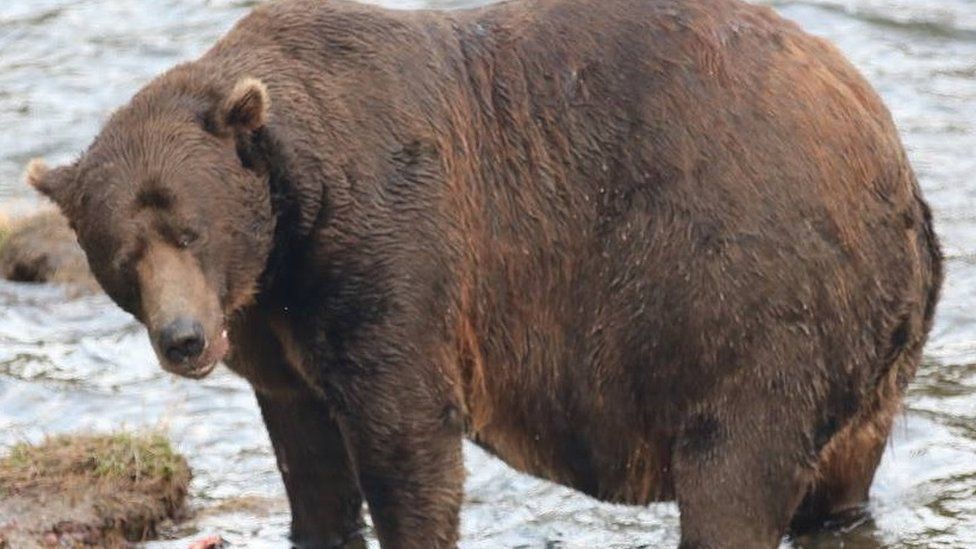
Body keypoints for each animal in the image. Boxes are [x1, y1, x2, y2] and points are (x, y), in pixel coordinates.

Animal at [26, 0, 942, 547]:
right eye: (122, 254)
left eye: (191, 227)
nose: (183, 338)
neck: (290, 235)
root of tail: (891, 155)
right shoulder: (279, 335)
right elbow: (310, 461)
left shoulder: (394, 259)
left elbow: (404, 440)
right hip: (868, 357)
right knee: (839, 482)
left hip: (747, 300)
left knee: (734, 470)